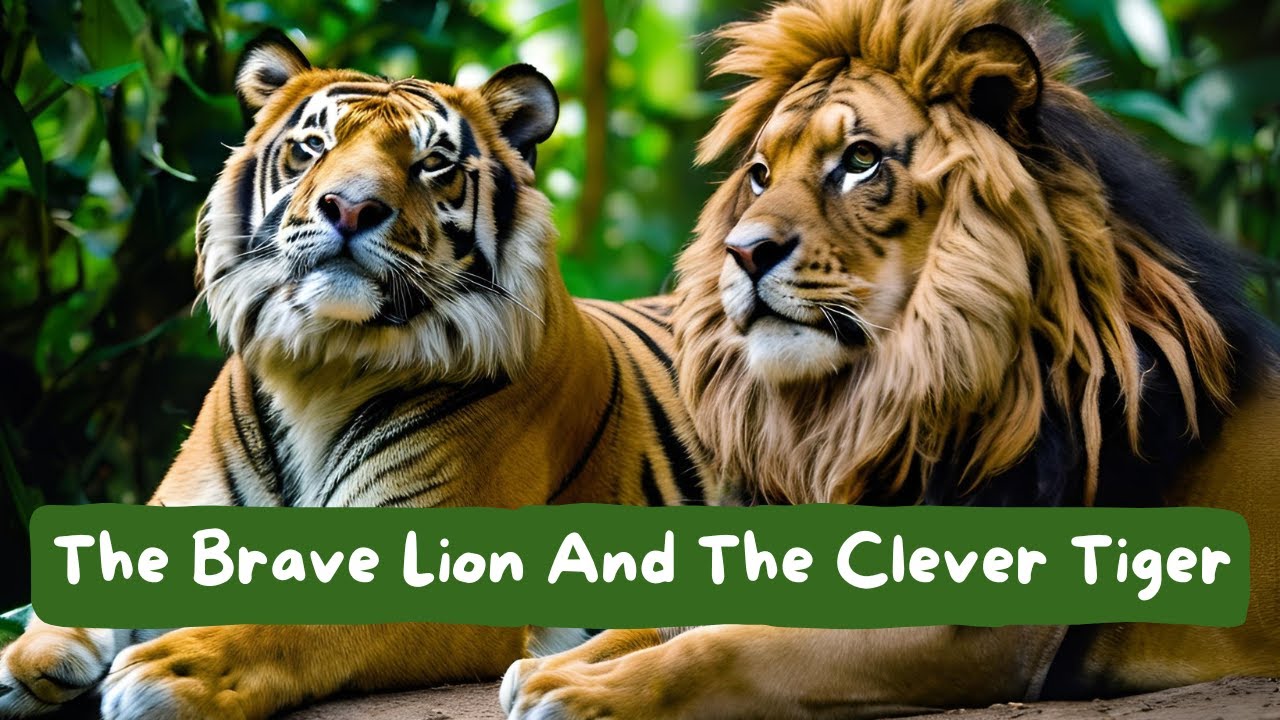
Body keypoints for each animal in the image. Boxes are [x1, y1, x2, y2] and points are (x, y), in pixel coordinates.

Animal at [0, 30, 706, 720]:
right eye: (314, 145)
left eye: (433, 162)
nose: (349, 207)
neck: (324, 362)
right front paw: (24, 658)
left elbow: (294, 624)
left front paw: (172, 670)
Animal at [500, 0, 1280, 717]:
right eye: (760, 174)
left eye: (859, 160)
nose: (742, 252)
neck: (875, 402)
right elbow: (686, 618)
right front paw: (557, 664)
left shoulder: (984, 627)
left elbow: (734, 644)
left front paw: (583, 690)